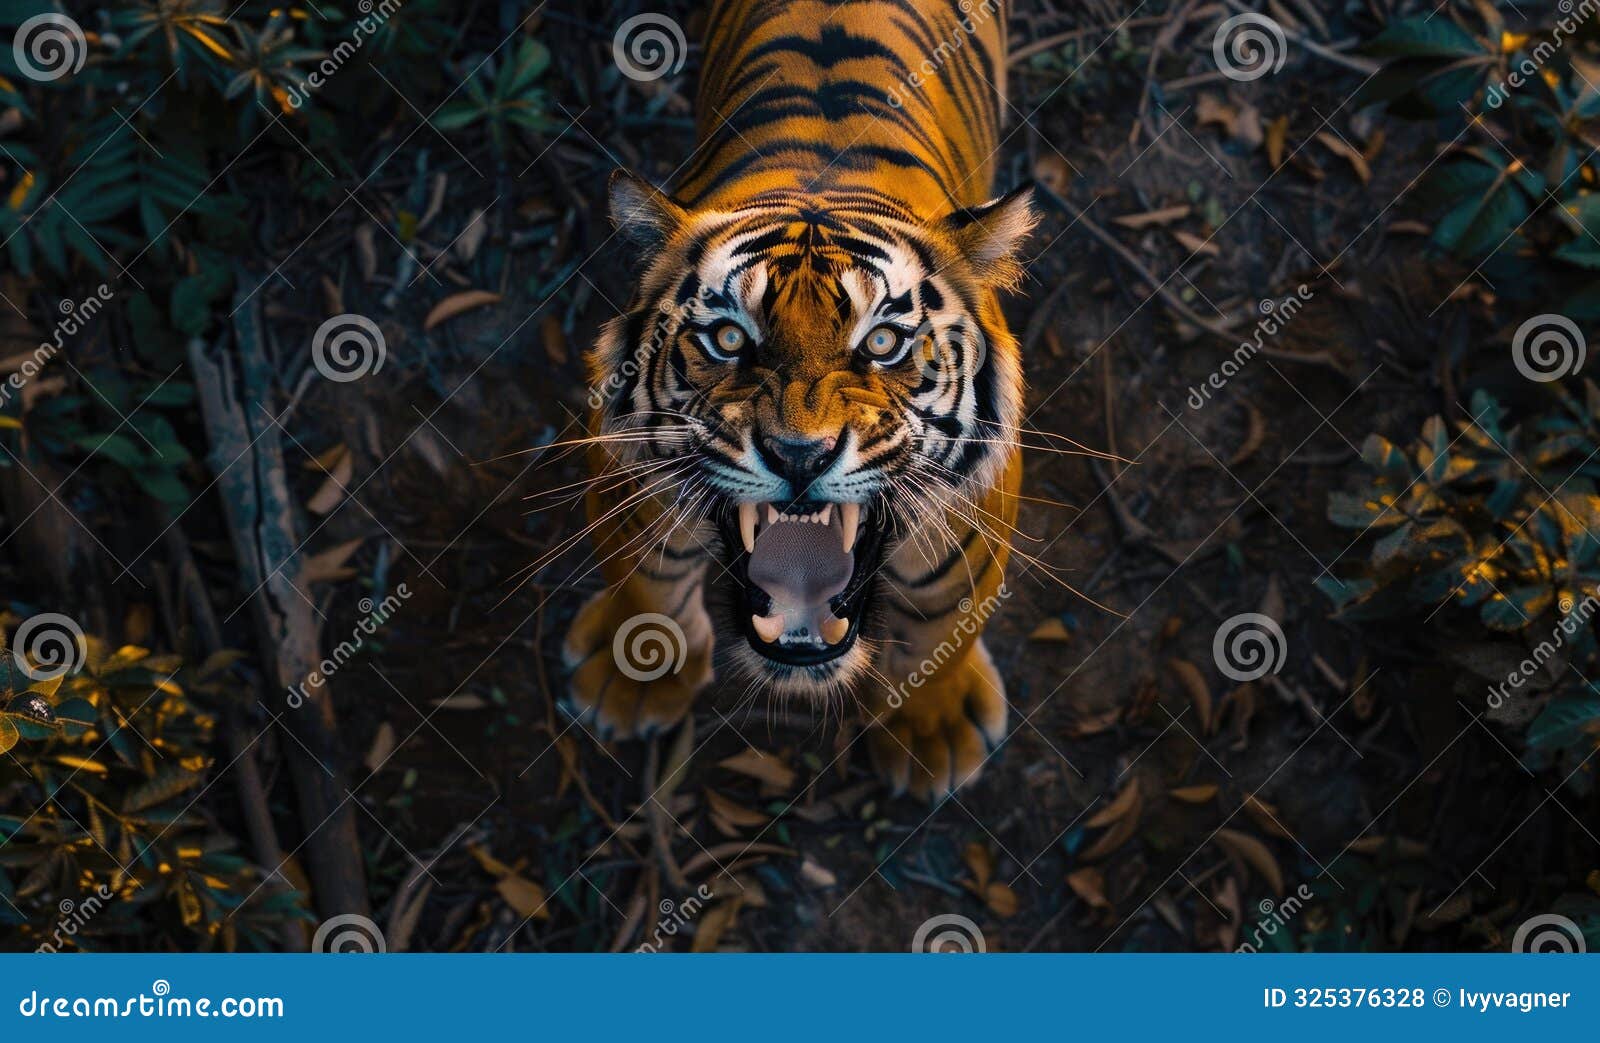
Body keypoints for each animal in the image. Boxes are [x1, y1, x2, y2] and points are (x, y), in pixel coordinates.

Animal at [562, 0, 1036, 801]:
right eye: (728, 336)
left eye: (884, 342)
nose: (799, 454)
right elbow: (645, 577)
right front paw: (633, 682)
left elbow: (944, 615)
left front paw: (934, 731)